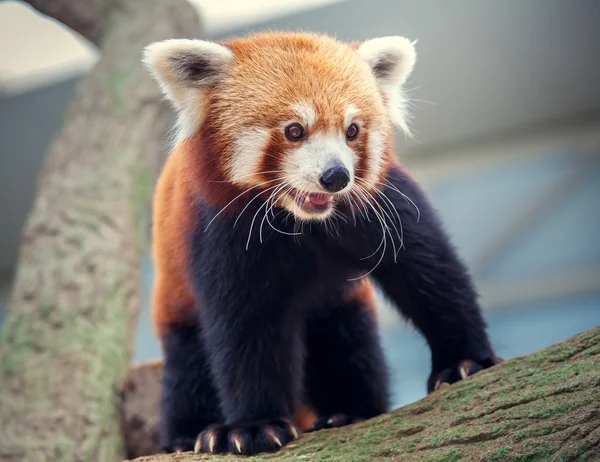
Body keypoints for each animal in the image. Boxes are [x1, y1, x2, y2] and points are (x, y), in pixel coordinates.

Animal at [143, 31, 500, 454]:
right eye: (295, 130)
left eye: (352, 130)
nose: (336, 177)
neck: (303, 222)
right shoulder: (221, 230)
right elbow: (243, 329)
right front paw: (254, 426)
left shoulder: (380, 206)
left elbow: (430, 274)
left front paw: (465, 361)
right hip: (176, 305)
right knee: (188, 366)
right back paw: (190, 434)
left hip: (341, 306)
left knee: (347, 344)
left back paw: (347, 411)